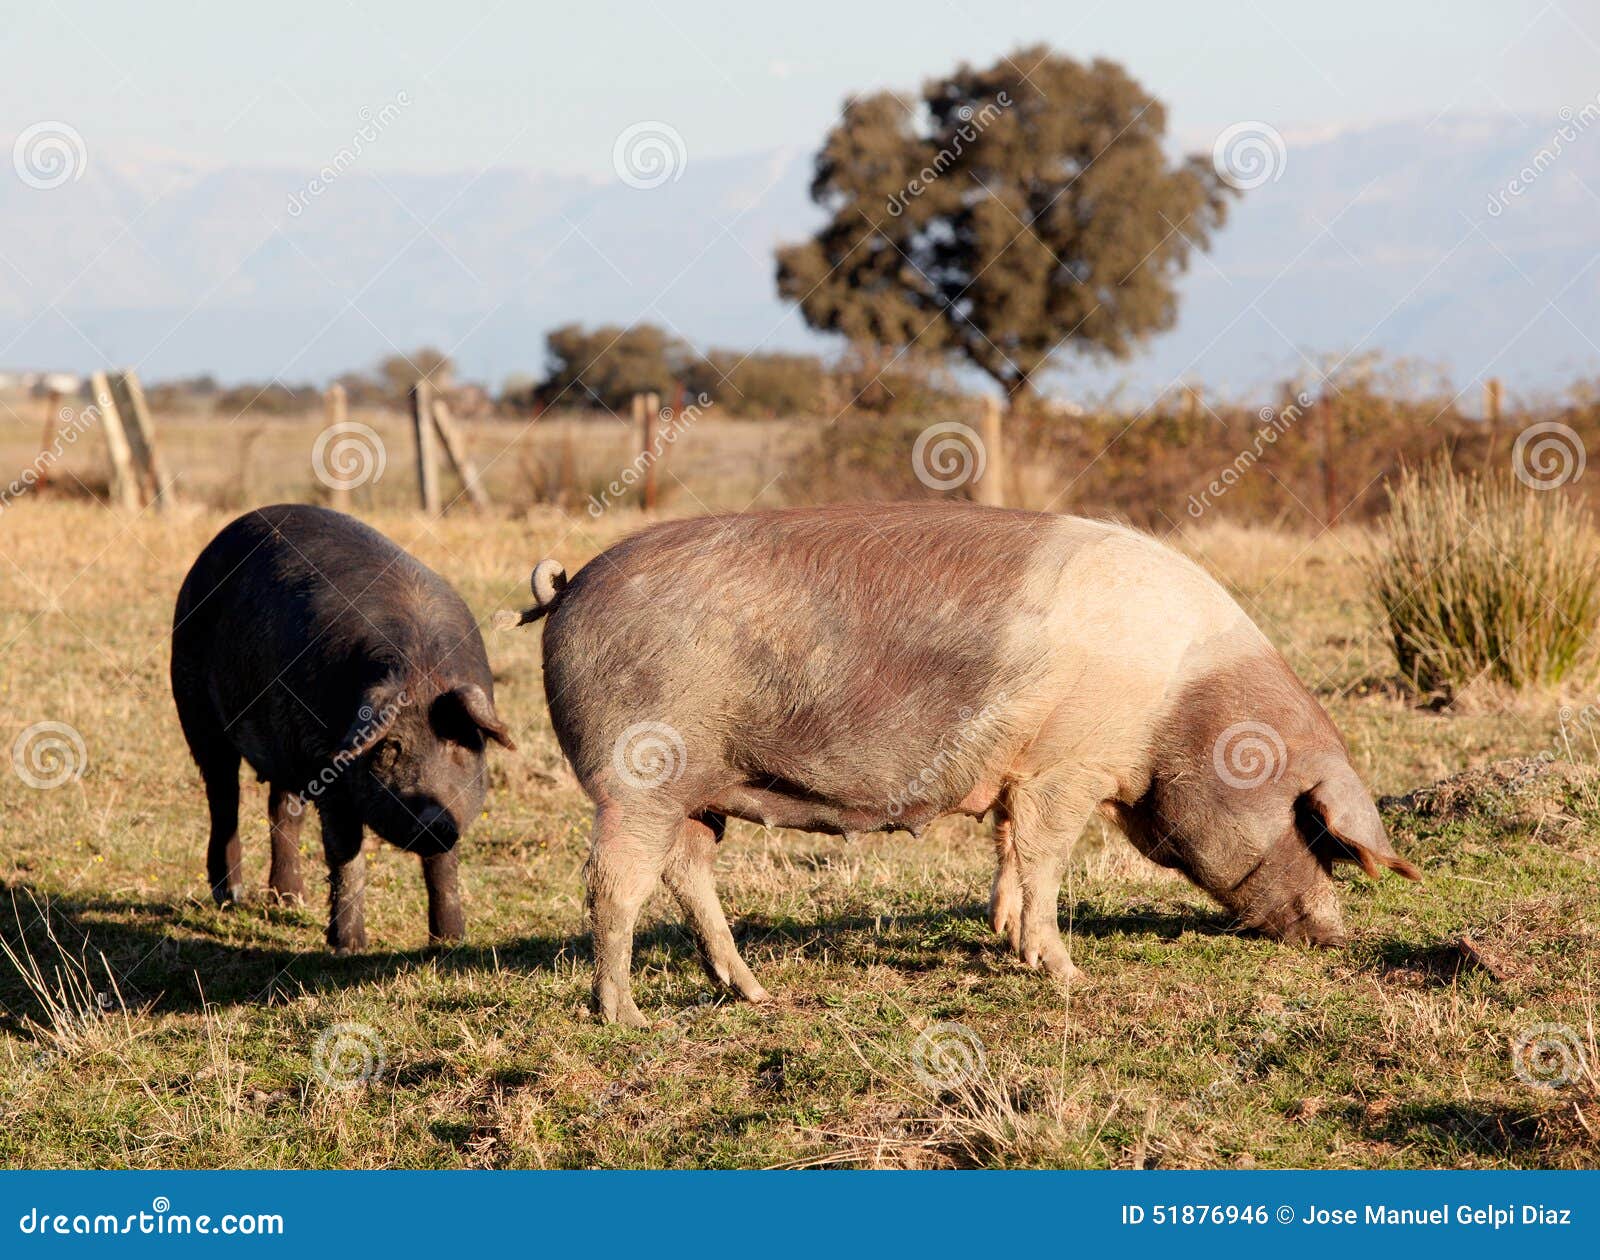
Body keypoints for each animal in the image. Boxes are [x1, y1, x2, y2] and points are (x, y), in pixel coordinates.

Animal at [171, 504, 514, 950]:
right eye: (389, 748)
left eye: (458, 743)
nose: (432, 821)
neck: (421, 671)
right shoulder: (327, 766)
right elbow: (346, 855)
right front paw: (348, 945)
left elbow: (444, 865)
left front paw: (451, 941)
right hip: (194, 705)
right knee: (223, 795)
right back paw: (230, 895)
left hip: (285, 748)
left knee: (283, 809)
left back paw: (289, 900)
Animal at [509, 502, 1419, 1027]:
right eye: (1312, 823)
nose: (1337, 932)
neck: (1178, 703)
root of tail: (569, 586)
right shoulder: (1067, 765)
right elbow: (1047, 858)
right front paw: (1067, 976)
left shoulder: (1023, 772)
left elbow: (1010, 851)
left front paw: (1008, 942)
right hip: (635, 773)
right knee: (615, 881)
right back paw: (624, 1019)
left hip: (700, 793)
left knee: (686, 873)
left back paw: (754, 994)